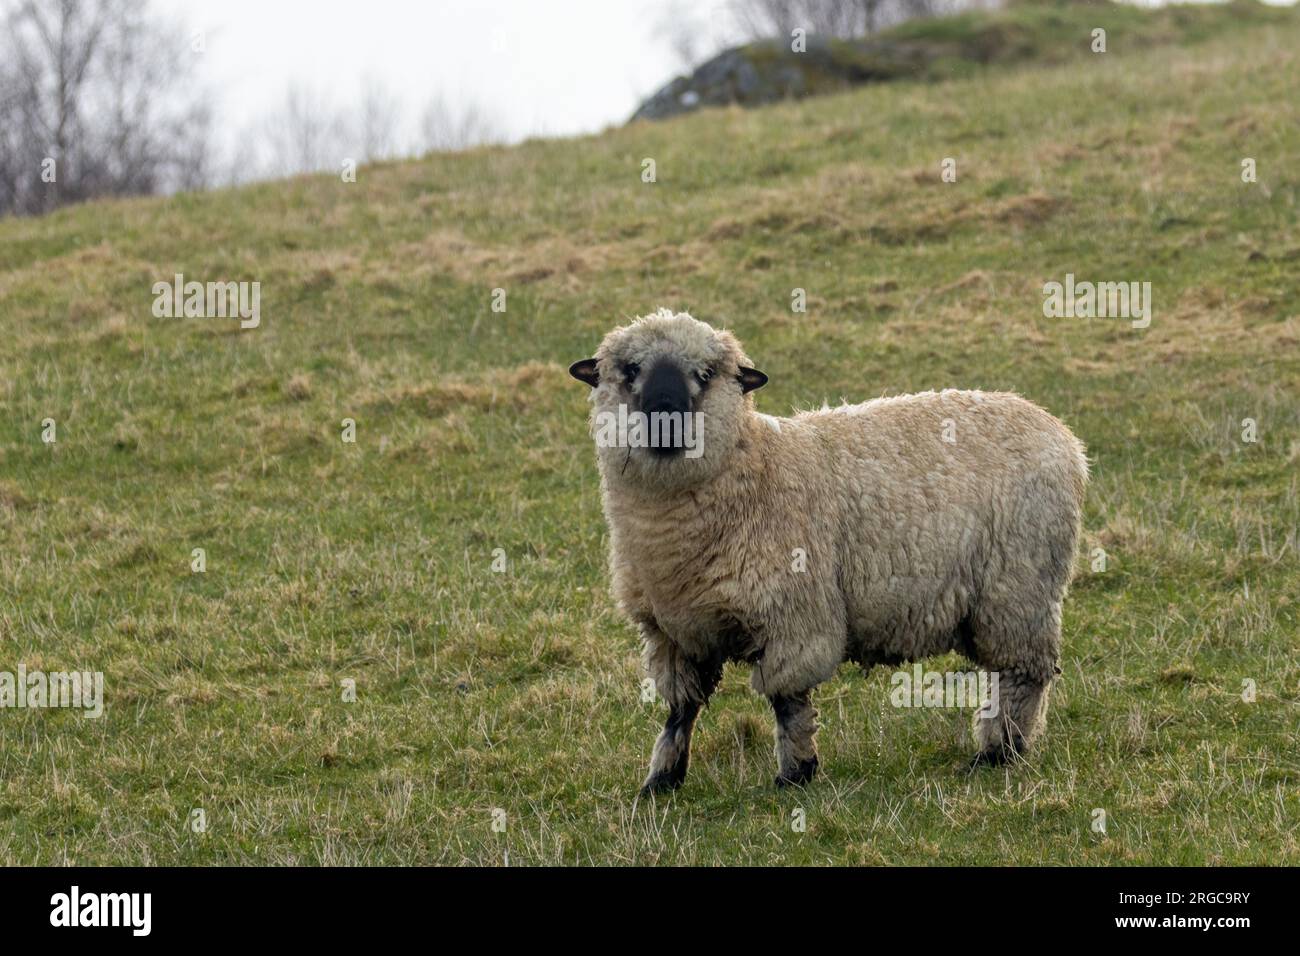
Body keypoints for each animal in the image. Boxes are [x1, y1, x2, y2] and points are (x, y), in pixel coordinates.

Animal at [569, 309, 1088, 794]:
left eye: (706, 372)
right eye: (630, 369)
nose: (665, 413)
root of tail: (1060, 433)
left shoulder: (795, 615)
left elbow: (787, 700)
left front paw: (795, 772)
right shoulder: (671, 631)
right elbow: (681, 709)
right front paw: (661, 779)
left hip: (1018, 588)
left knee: (1022, 675)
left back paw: (999, 752)